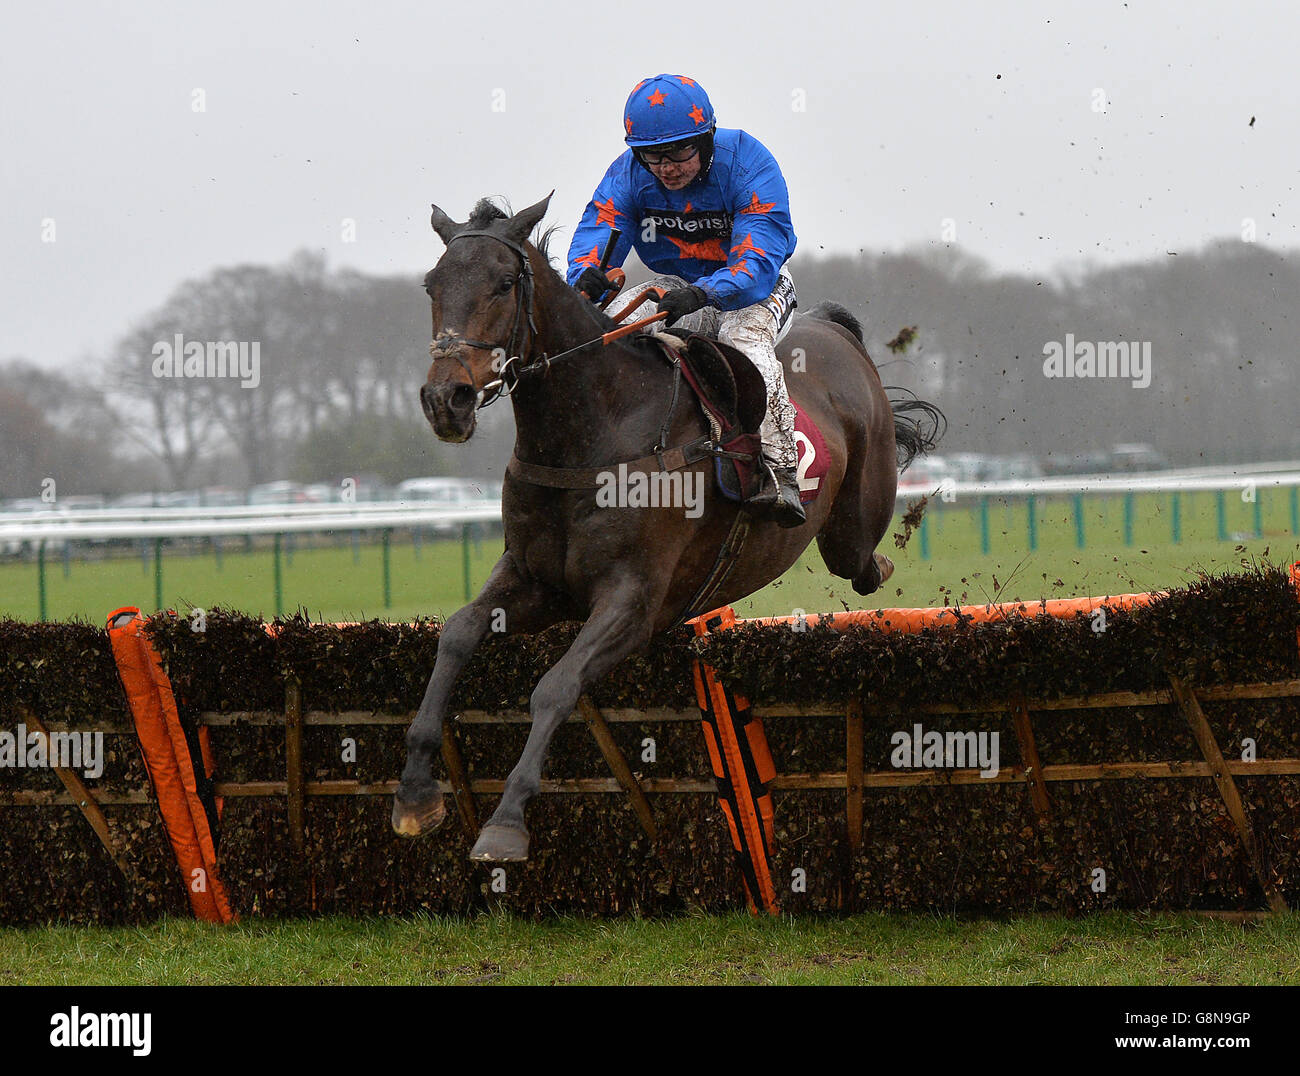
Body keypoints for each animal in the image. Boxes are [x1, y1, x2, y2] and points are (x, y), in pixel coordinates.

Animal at [393, 192, 943, 861]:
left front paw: (506, 820)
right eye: (432, 285)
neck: (593, 431)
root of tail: (832, 327)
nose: (446, 400)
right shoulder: (535, 581)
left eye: (503, 283)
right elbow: (457, 634)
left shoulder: (635, 605)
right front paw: (415, 794)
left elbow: (556, 685)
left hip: (853, 519)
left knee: (862, 563)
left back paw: (873, 554)